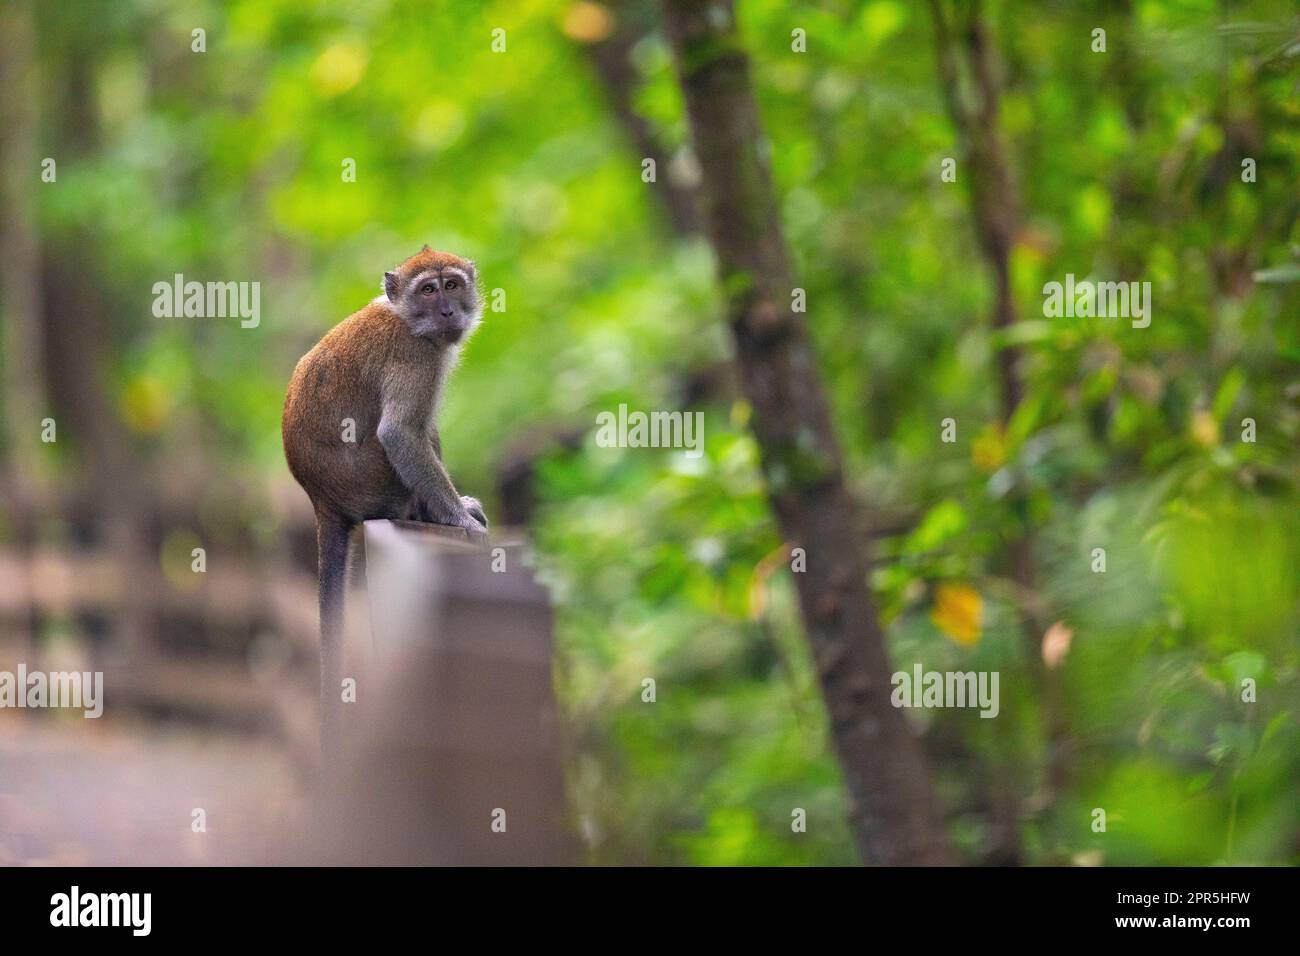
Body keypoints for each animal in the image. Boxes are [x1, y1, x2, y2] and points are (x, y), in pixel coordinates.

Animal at [281, 245, 487, 763]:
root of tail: (321, 500)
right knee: (410, 435)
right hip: (379, 485)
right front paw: (458, 517)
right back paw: (428, 511)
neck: (407, 320)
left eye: (452, 285)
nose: (448, 312)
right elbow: (399, 433)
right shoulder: (415, 359)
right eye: (428, 290)